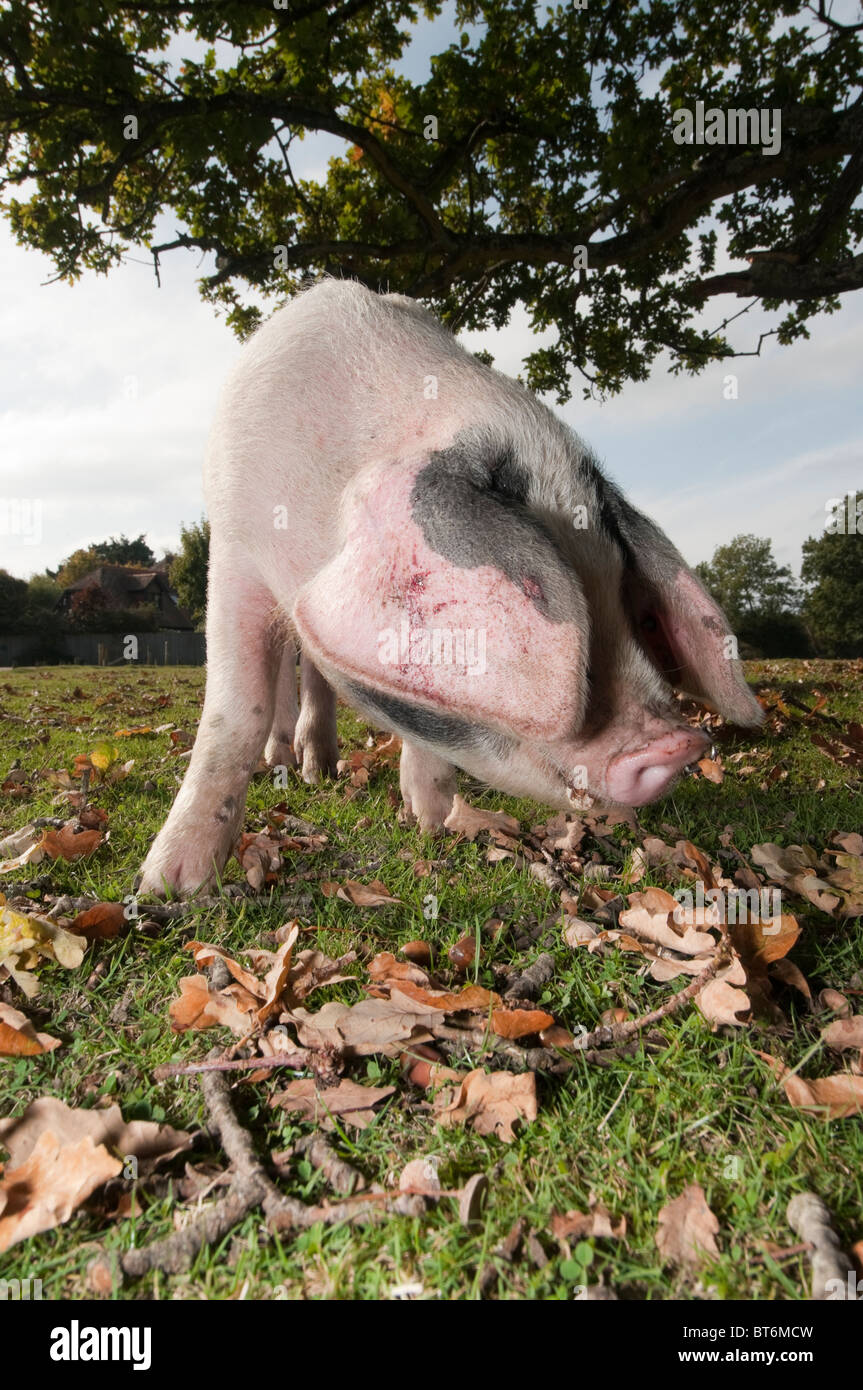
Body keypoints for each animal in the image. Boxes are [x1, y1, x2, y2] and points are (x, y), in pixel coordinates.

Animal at [137, 278, 762, 897]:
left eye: (624, 594)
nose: (680, 744)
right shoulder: (233, 549)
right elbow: (237, 709)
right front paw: (170, 888)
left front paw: (432, 823)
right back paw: (287, 767)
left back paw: (323, 769)